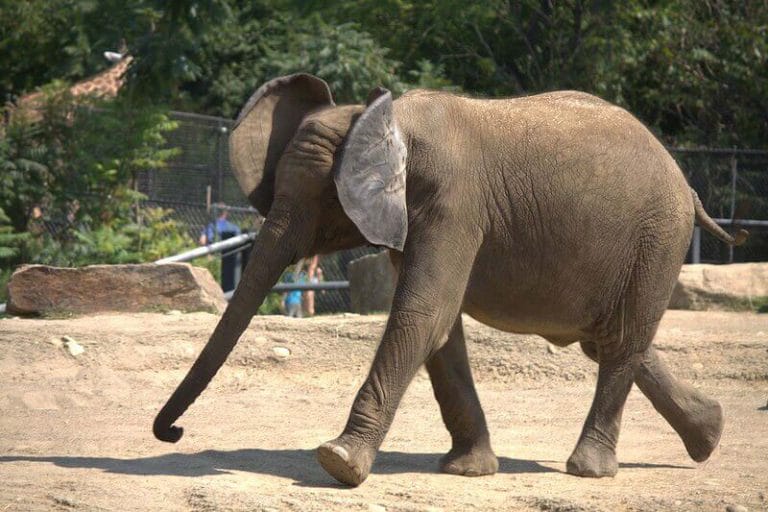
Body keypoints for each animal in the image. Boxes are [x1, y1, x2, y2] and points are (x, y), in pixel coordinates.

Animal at [153, 73, 748, 486]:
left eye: (317, 199)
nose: (174, 432)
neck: (380, 117)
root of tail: (687, 185)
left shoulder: (454, 203)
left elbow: (423, 312)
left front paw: (338, 462)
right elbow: (441, 329)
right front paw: (467, 471)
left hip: (658, 234)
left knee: (621, 340)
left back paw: (589, 470)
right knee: (608, 339)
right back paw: (710, 434)